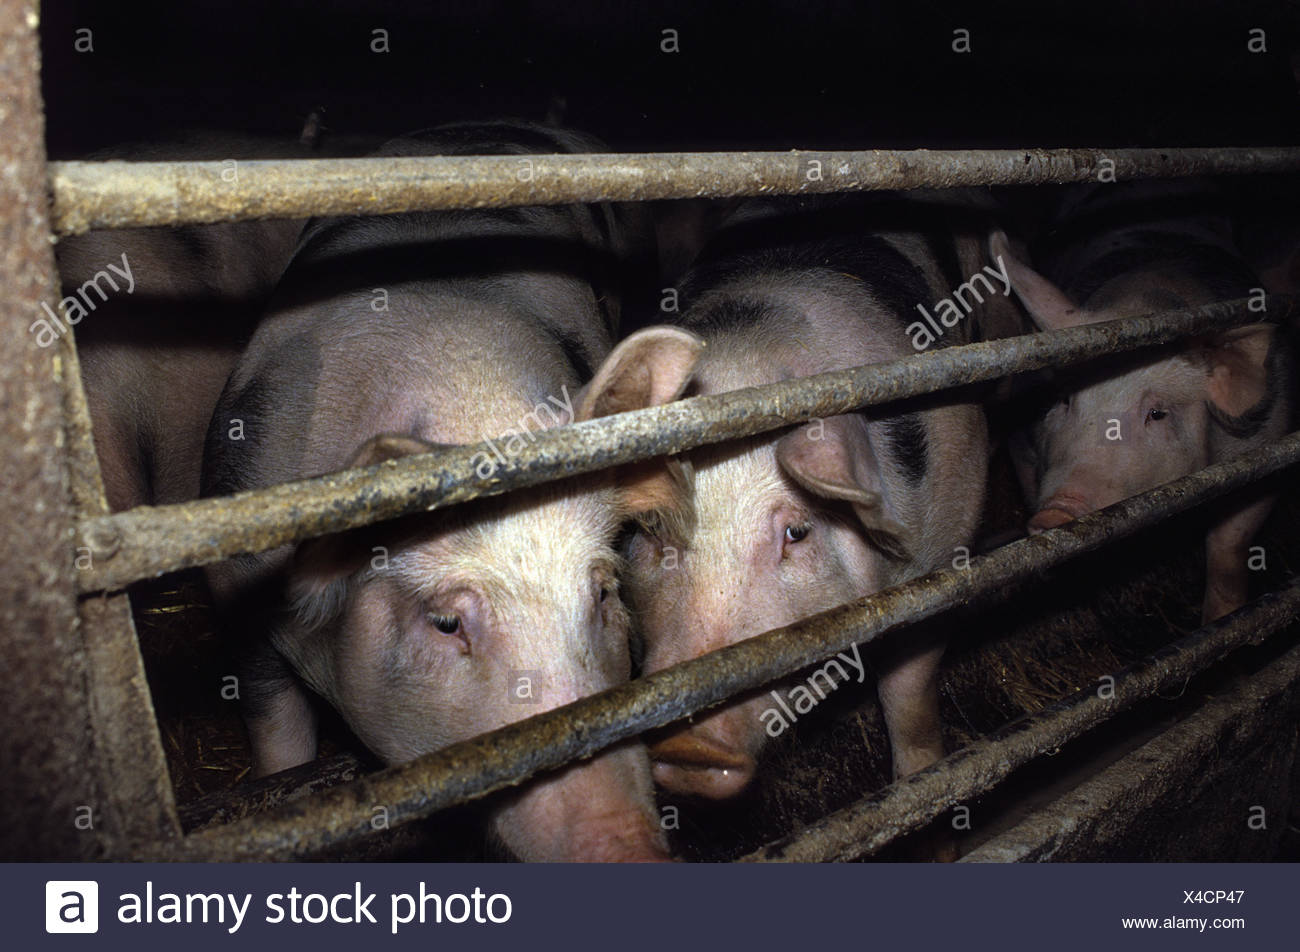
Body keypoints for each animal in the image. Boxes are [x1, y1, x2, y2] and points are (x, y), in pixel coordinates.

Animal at [622, 193, 997, 799]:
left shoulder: (945, 552)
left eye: (797, 532)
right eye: (653, 529)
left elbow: (909, 691)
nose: (688, 746)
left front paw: (922, 783)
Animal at [994, 180, 1293, 623]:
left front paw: (1222, 623)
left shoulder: (1266, 444)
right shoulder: (1022, 441)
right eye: (1065, 399)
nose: (1058, 512)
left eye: (1157, 413)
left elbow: (1228, 547)